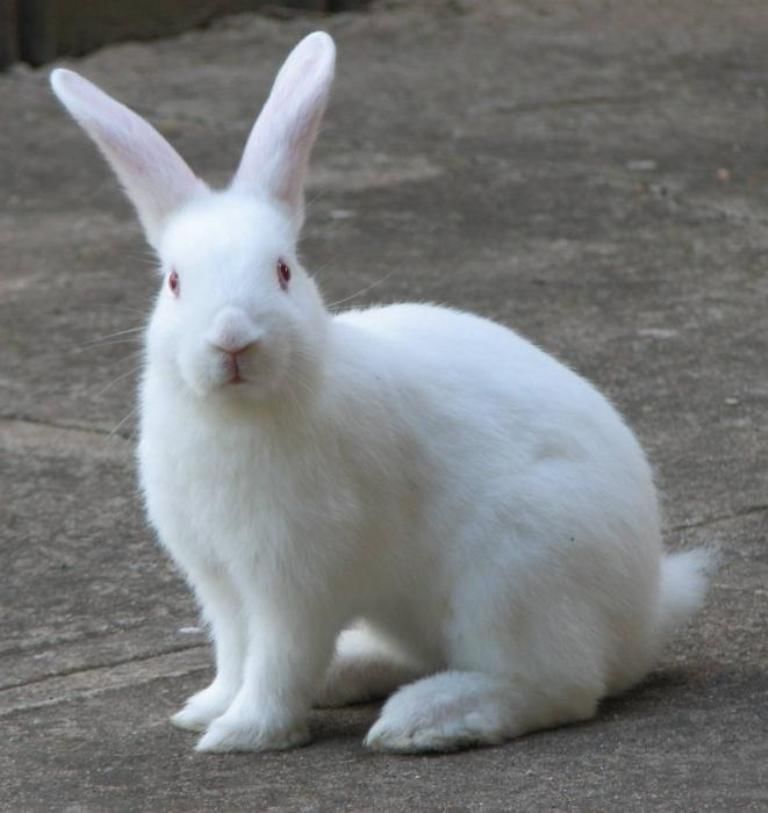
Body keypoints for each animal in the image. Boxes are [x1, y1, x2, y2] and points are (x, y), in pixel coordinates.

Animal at [50, 31, 714, 754]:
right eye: (174, 281)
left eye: (284, 271)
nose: (232, 339)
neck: (239, 415)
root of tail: (643, 614)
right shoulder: (220, 579)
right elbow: (234, 648)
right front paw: (207, 708)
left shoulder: (294, 578)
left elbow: (277, 657)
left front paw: (245, 732)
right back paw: (352, 674)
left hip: (514, 577)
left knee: (558, 687)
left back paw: (421, 719)